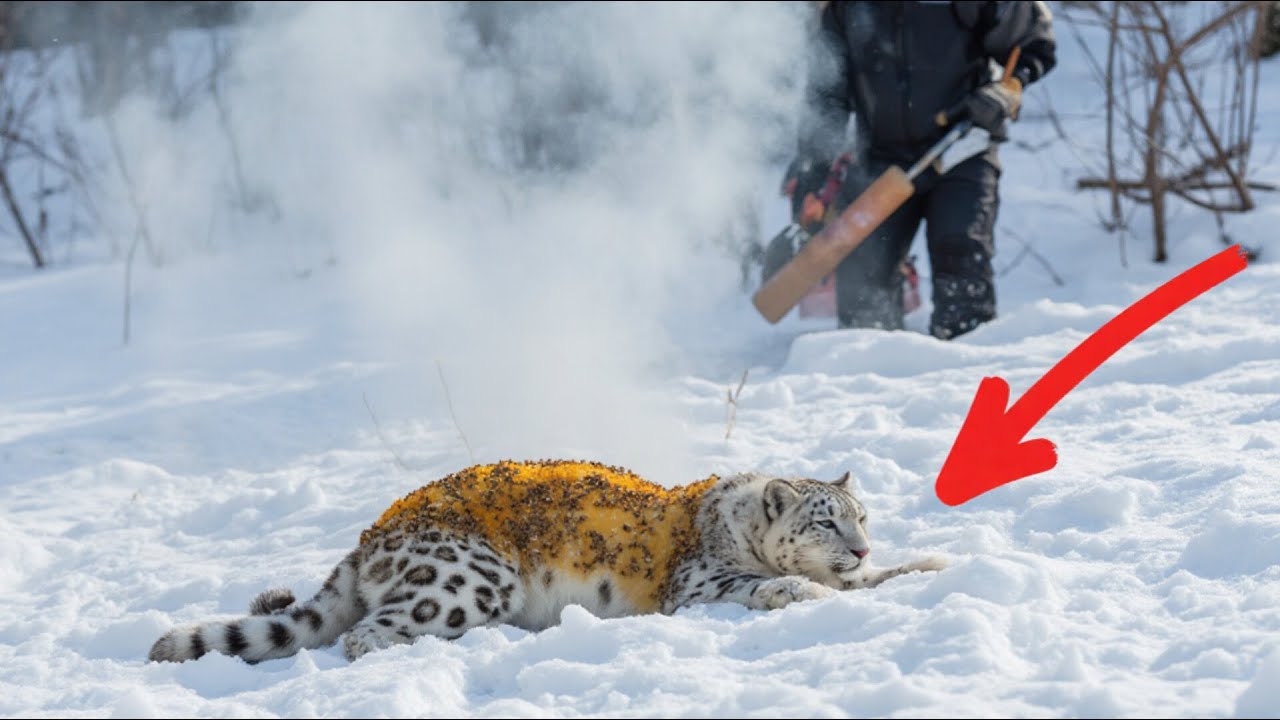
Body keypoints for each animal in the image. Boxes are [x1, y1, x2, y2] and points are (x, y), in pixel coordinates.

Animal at [148, 459, 946, 664]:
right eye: (825, 520)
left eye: (864, 517)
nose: (862, 546)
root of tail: (374, 535)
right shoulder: (699, 583)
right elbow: (760, 583)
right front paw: (803, 593)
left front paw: (930, 563)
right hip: (471, 576)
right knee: (369, 632)